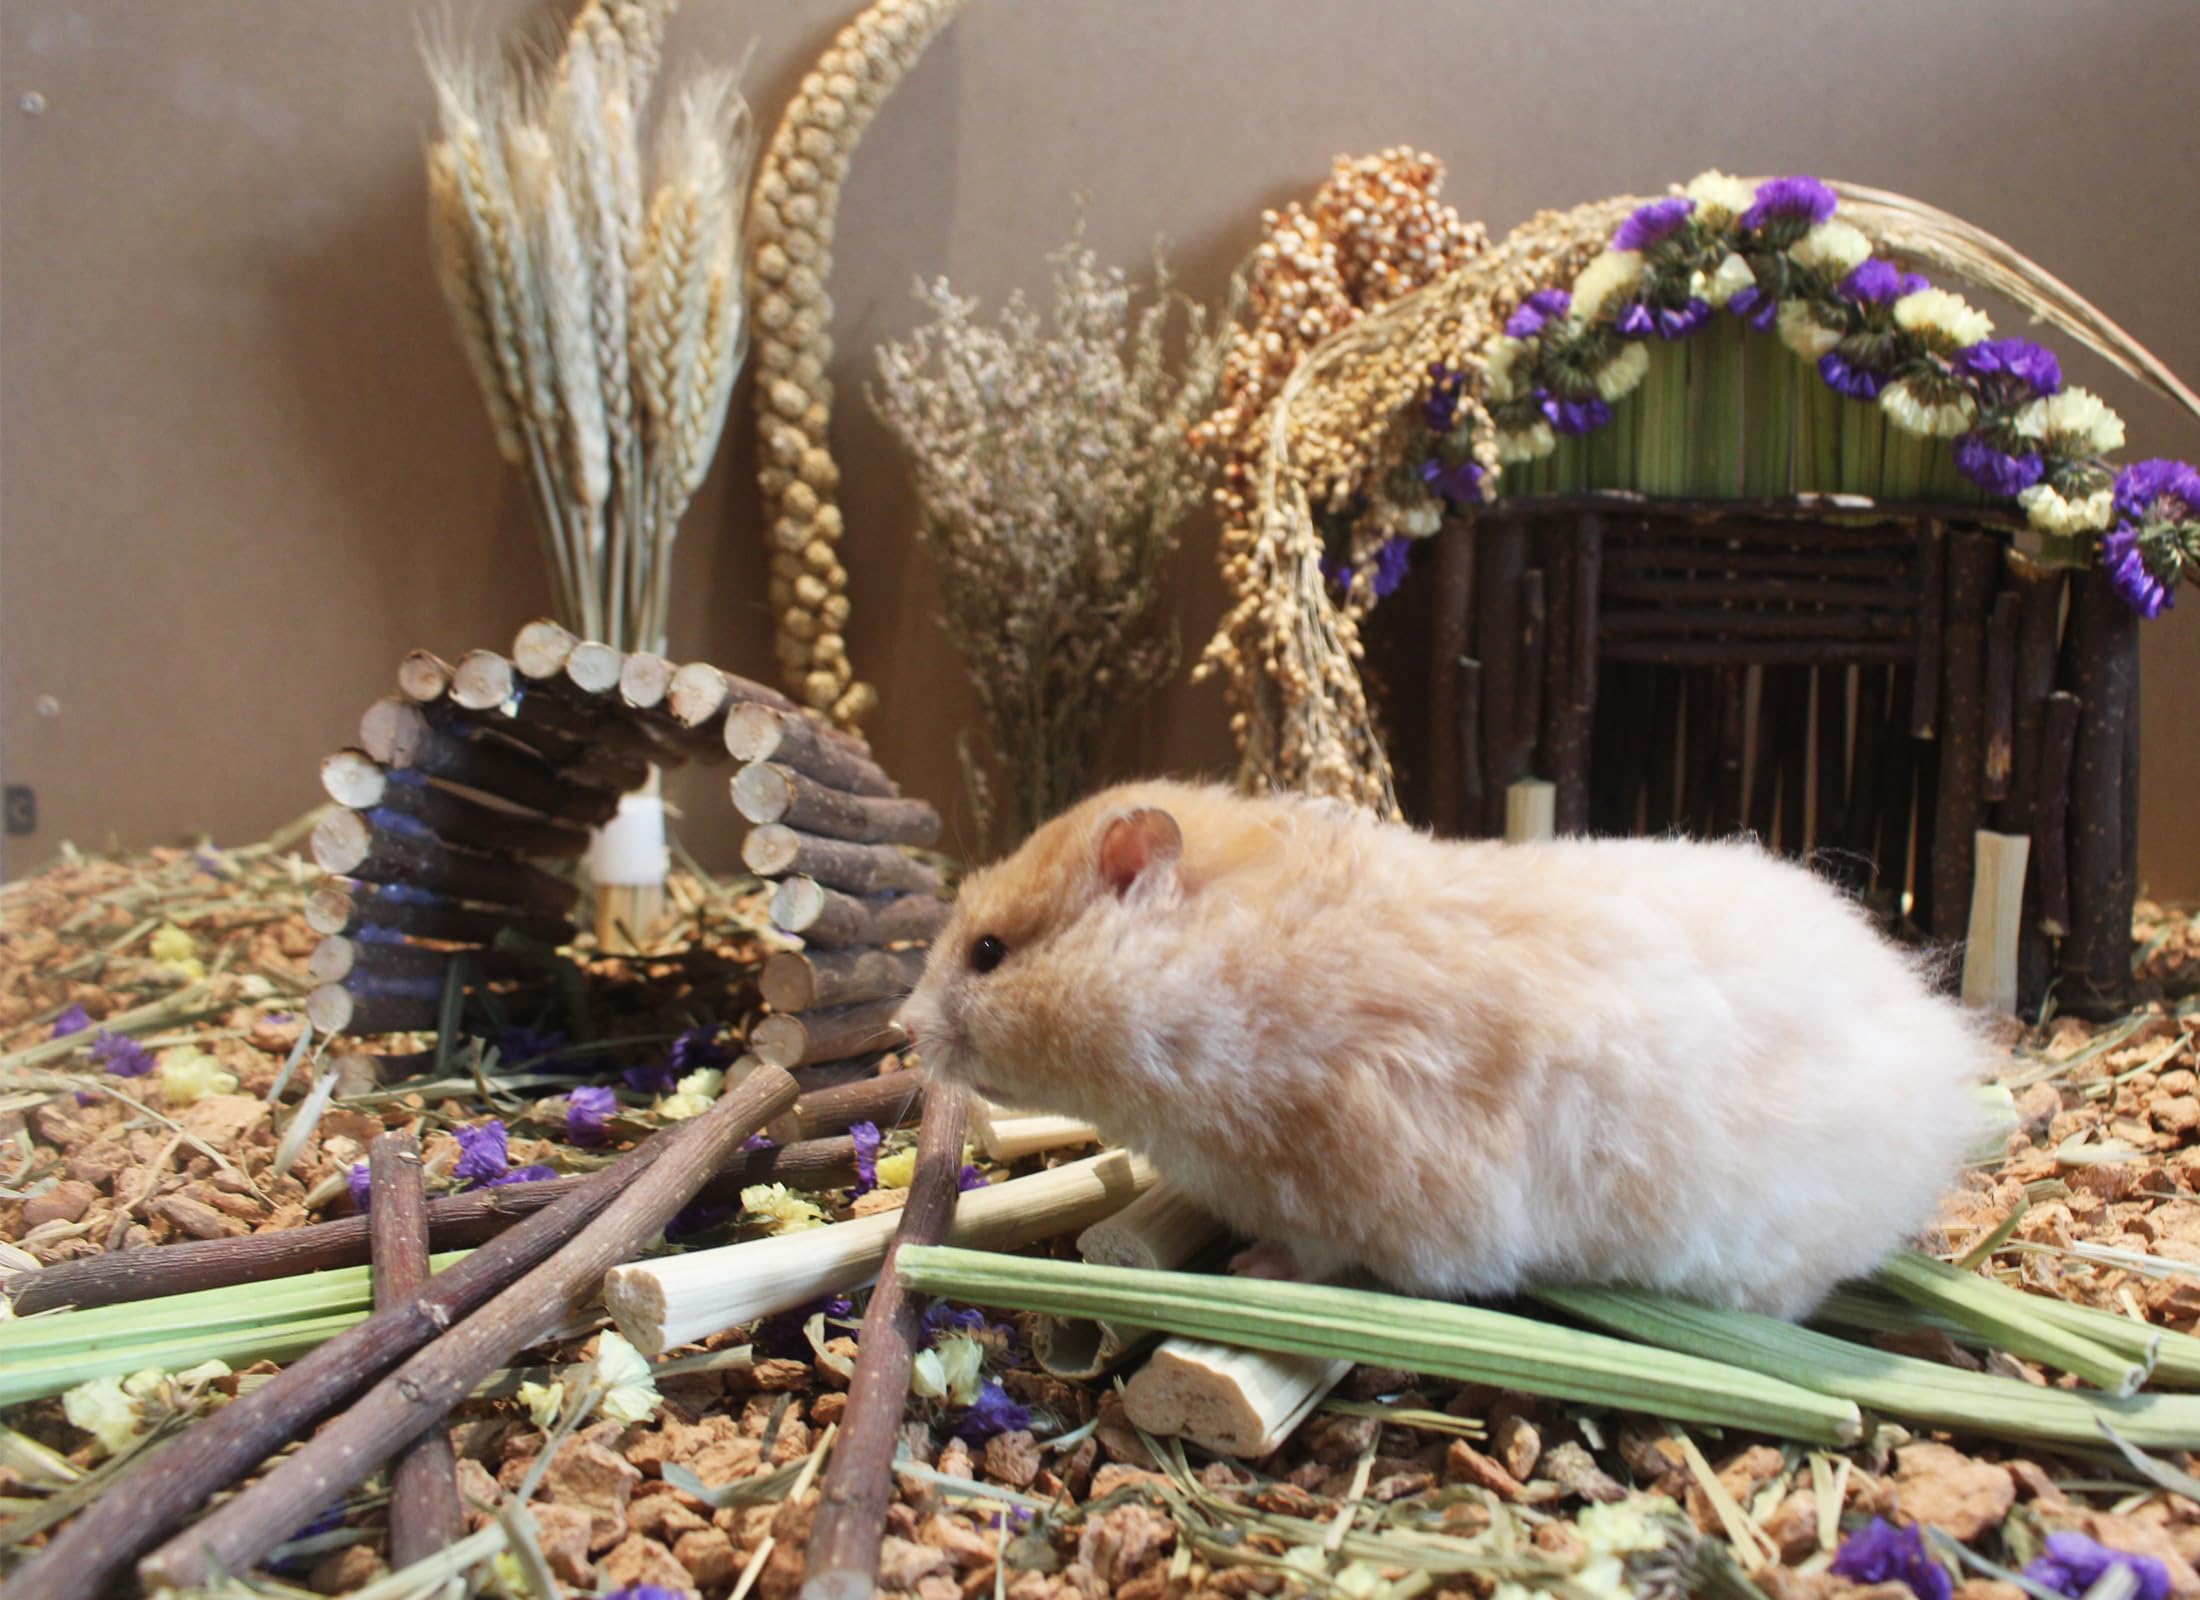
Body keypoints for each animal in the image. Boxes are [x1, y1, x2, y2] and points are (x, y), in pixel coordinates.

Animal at [898, 779, 1998, 1319]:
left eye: (989, 953)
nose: (902, 1031)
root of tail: (1940, 1064)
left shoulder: (1365, 1190)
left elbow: (1320, 1254)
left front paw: (1253, 1267)